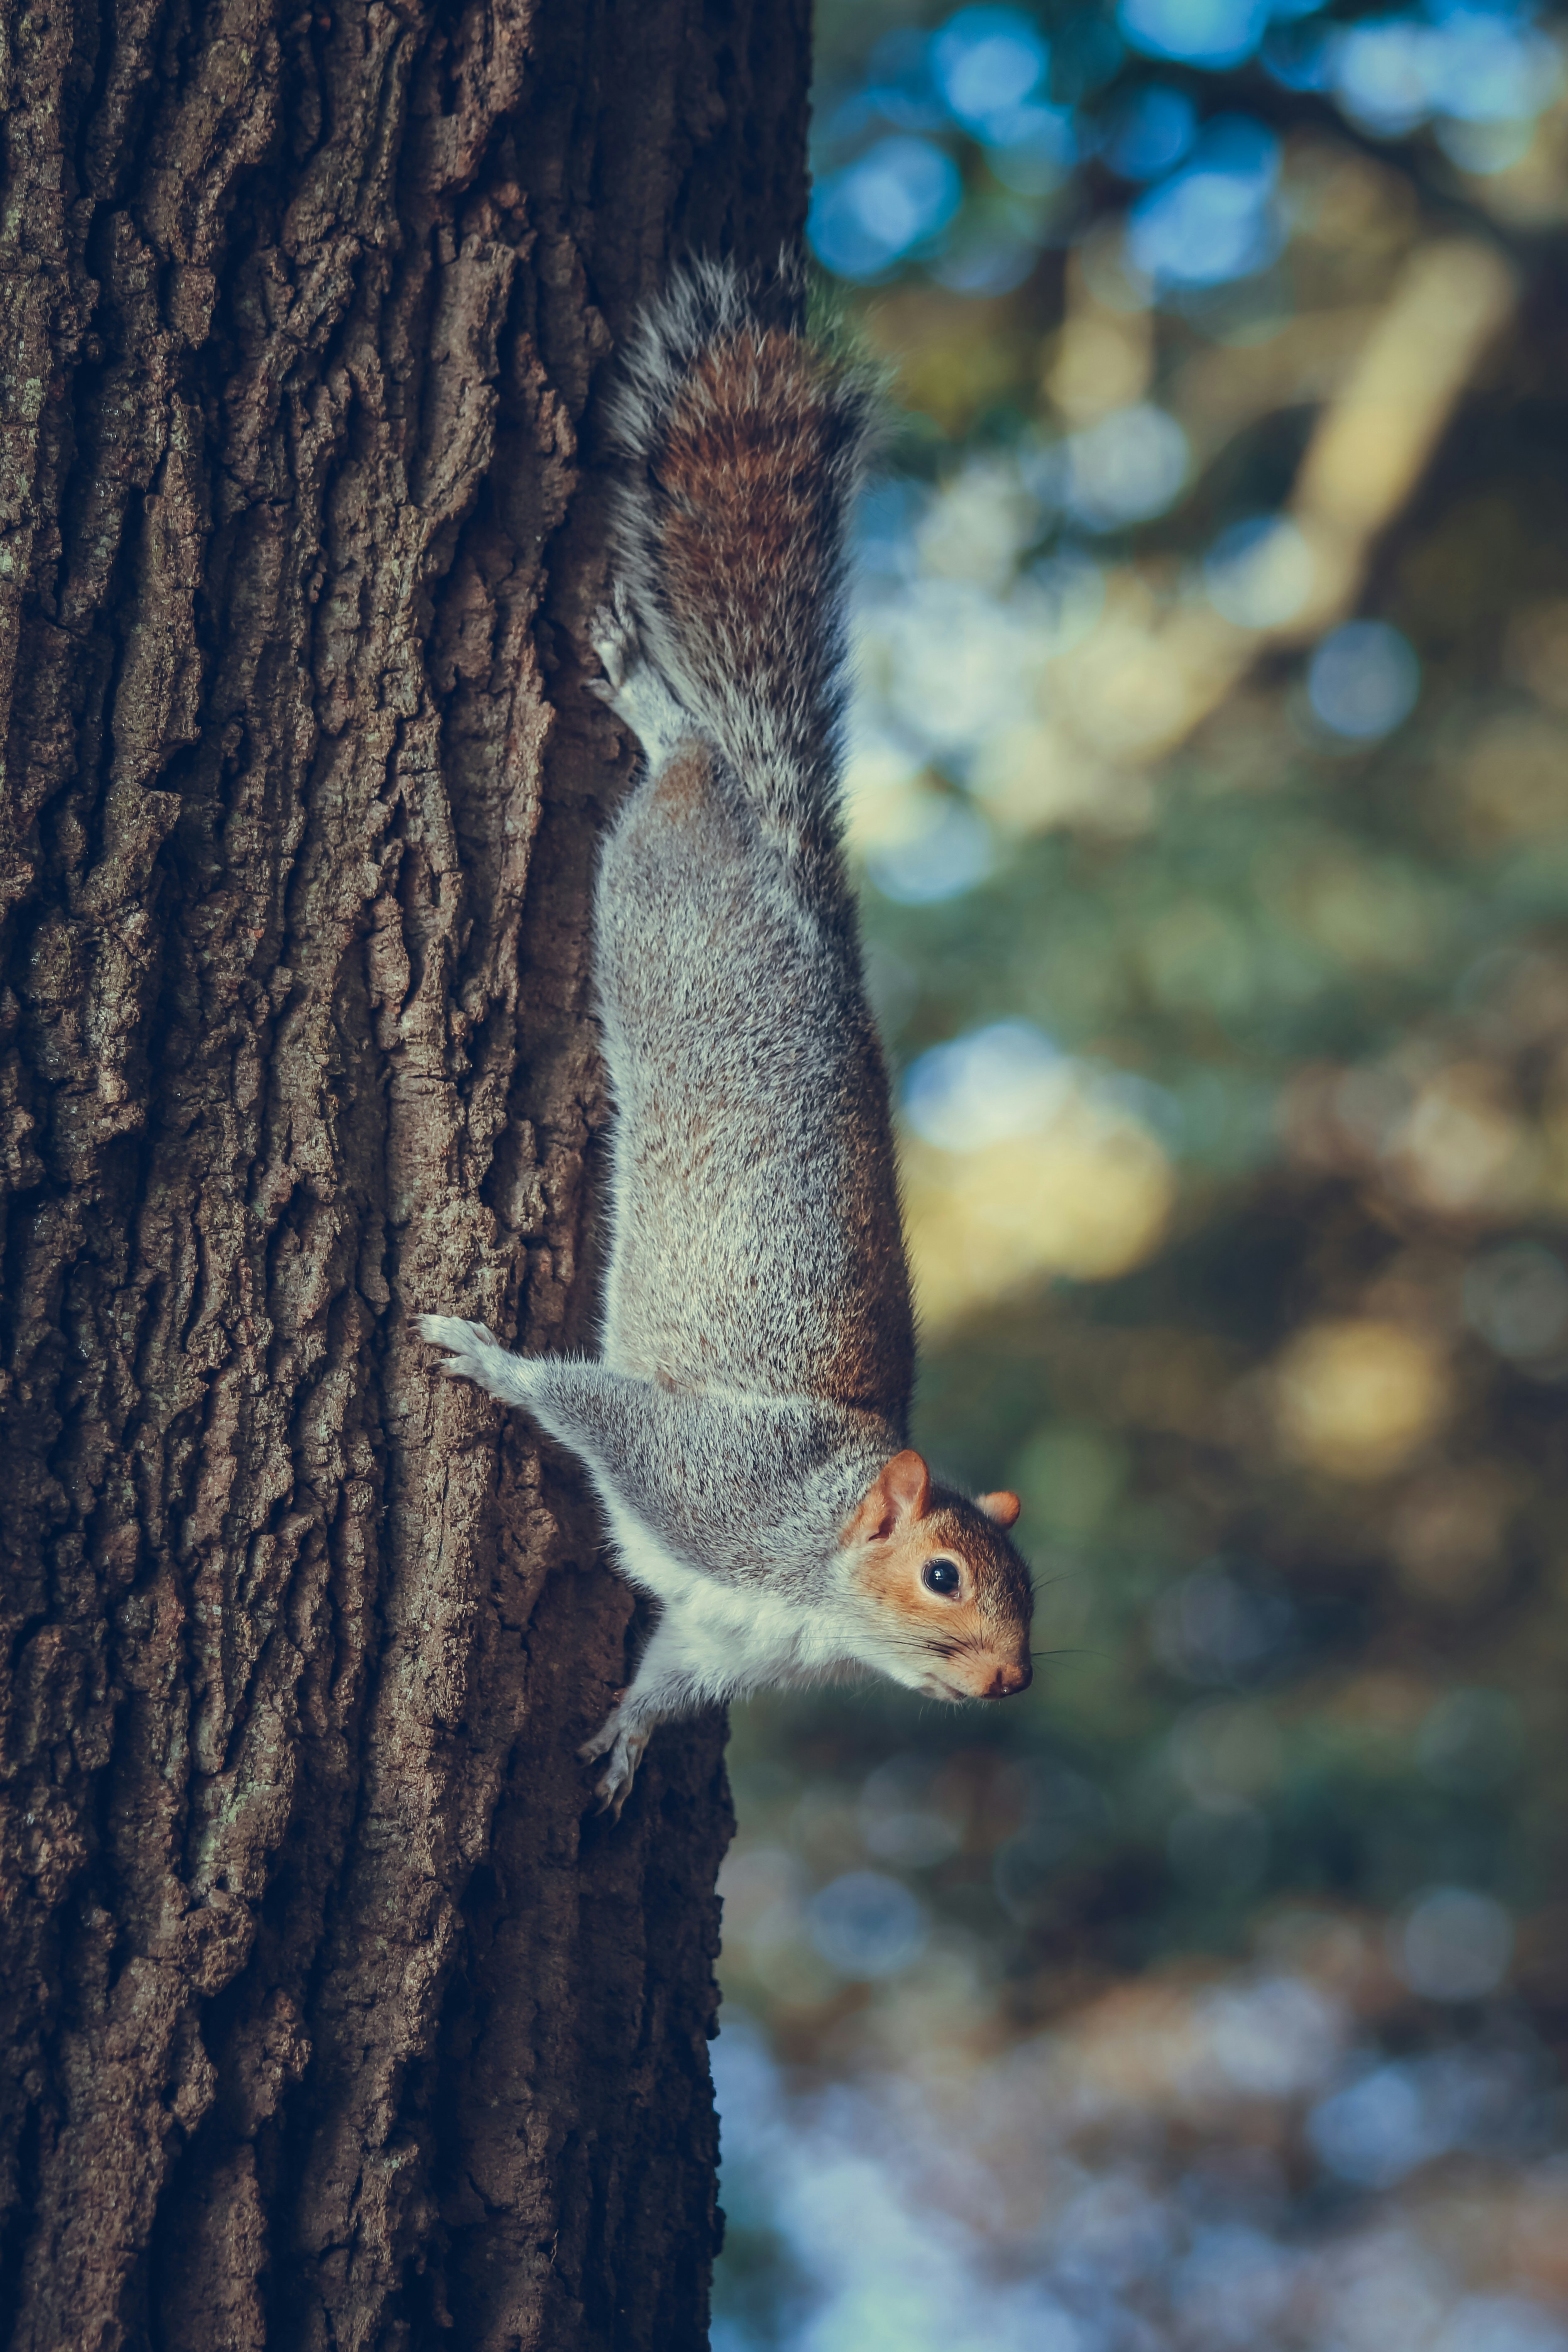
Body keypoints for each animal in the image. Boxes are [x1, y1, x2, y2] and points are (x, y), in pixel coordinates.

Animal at [419, 257, 1034, 1816]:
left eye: (1029, 1585)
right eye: (943, 1575)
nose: (1013, 1680)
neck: (810, 1572)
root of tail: (783, 865)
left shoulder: (719, 1627)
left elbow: (668, 1674)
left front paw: (625, 1743)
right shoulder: (698, 1469)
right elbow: (584, 1399)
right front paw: (485, 1357)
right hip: (651, 899)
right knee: (683, 755)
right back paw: (650, 698)